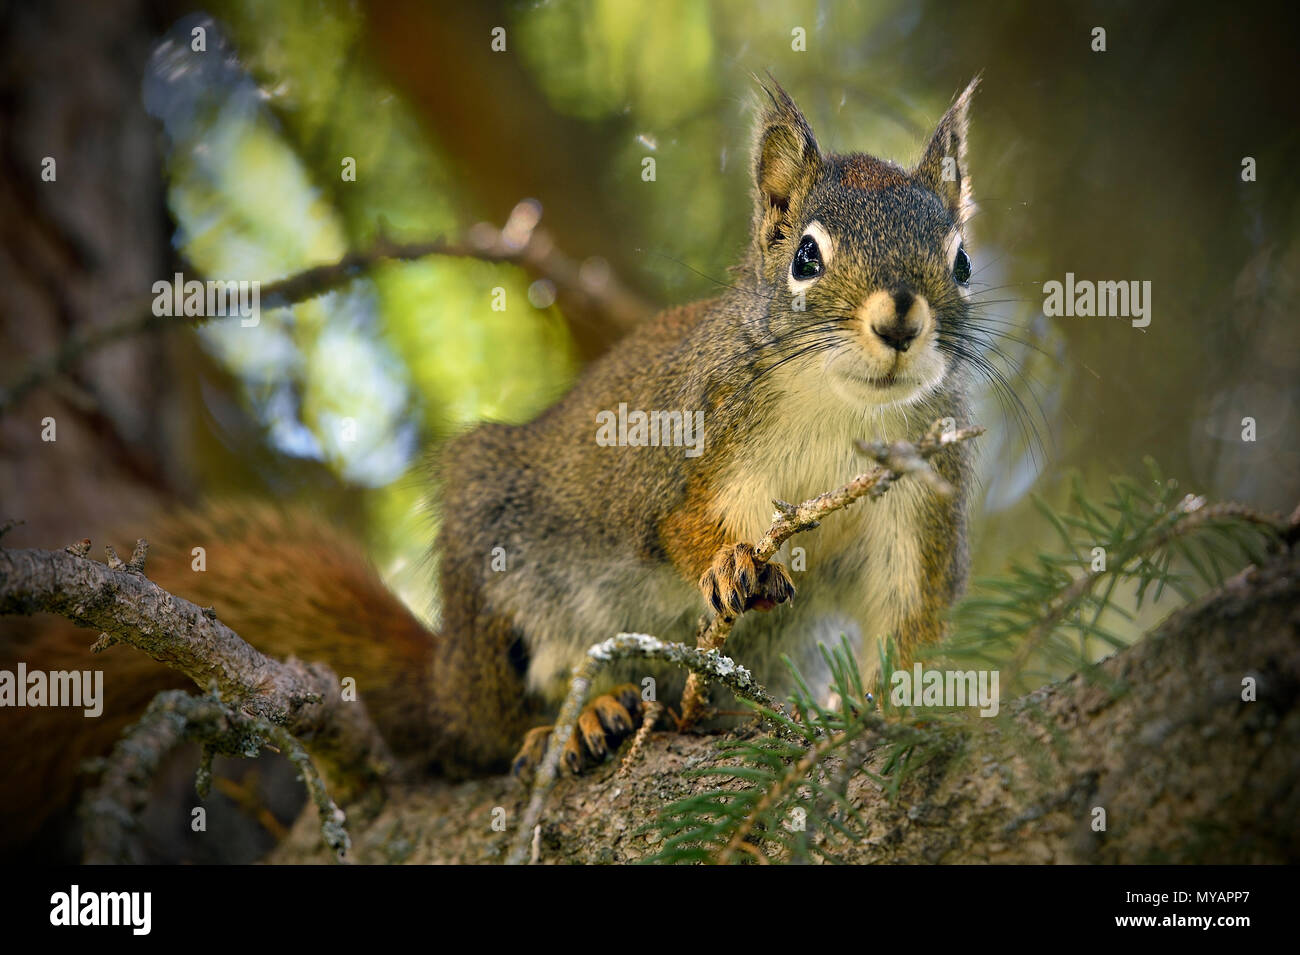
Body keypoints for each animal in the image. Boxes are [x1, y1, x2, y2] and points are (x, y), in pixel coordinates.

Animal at [1, 77, 980, 850]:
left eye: (963, 261)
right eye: (806, 255)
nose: (901, 317)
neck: (841, 411)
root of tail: (445, 683)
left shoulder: (921, 494)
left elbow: (912, 614)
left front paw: (911, 715)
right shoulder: (687, 439)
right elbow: (679, 522)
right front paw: (730, 560)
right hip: (502, 575)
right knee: (509, 715)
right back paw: (580, 721)